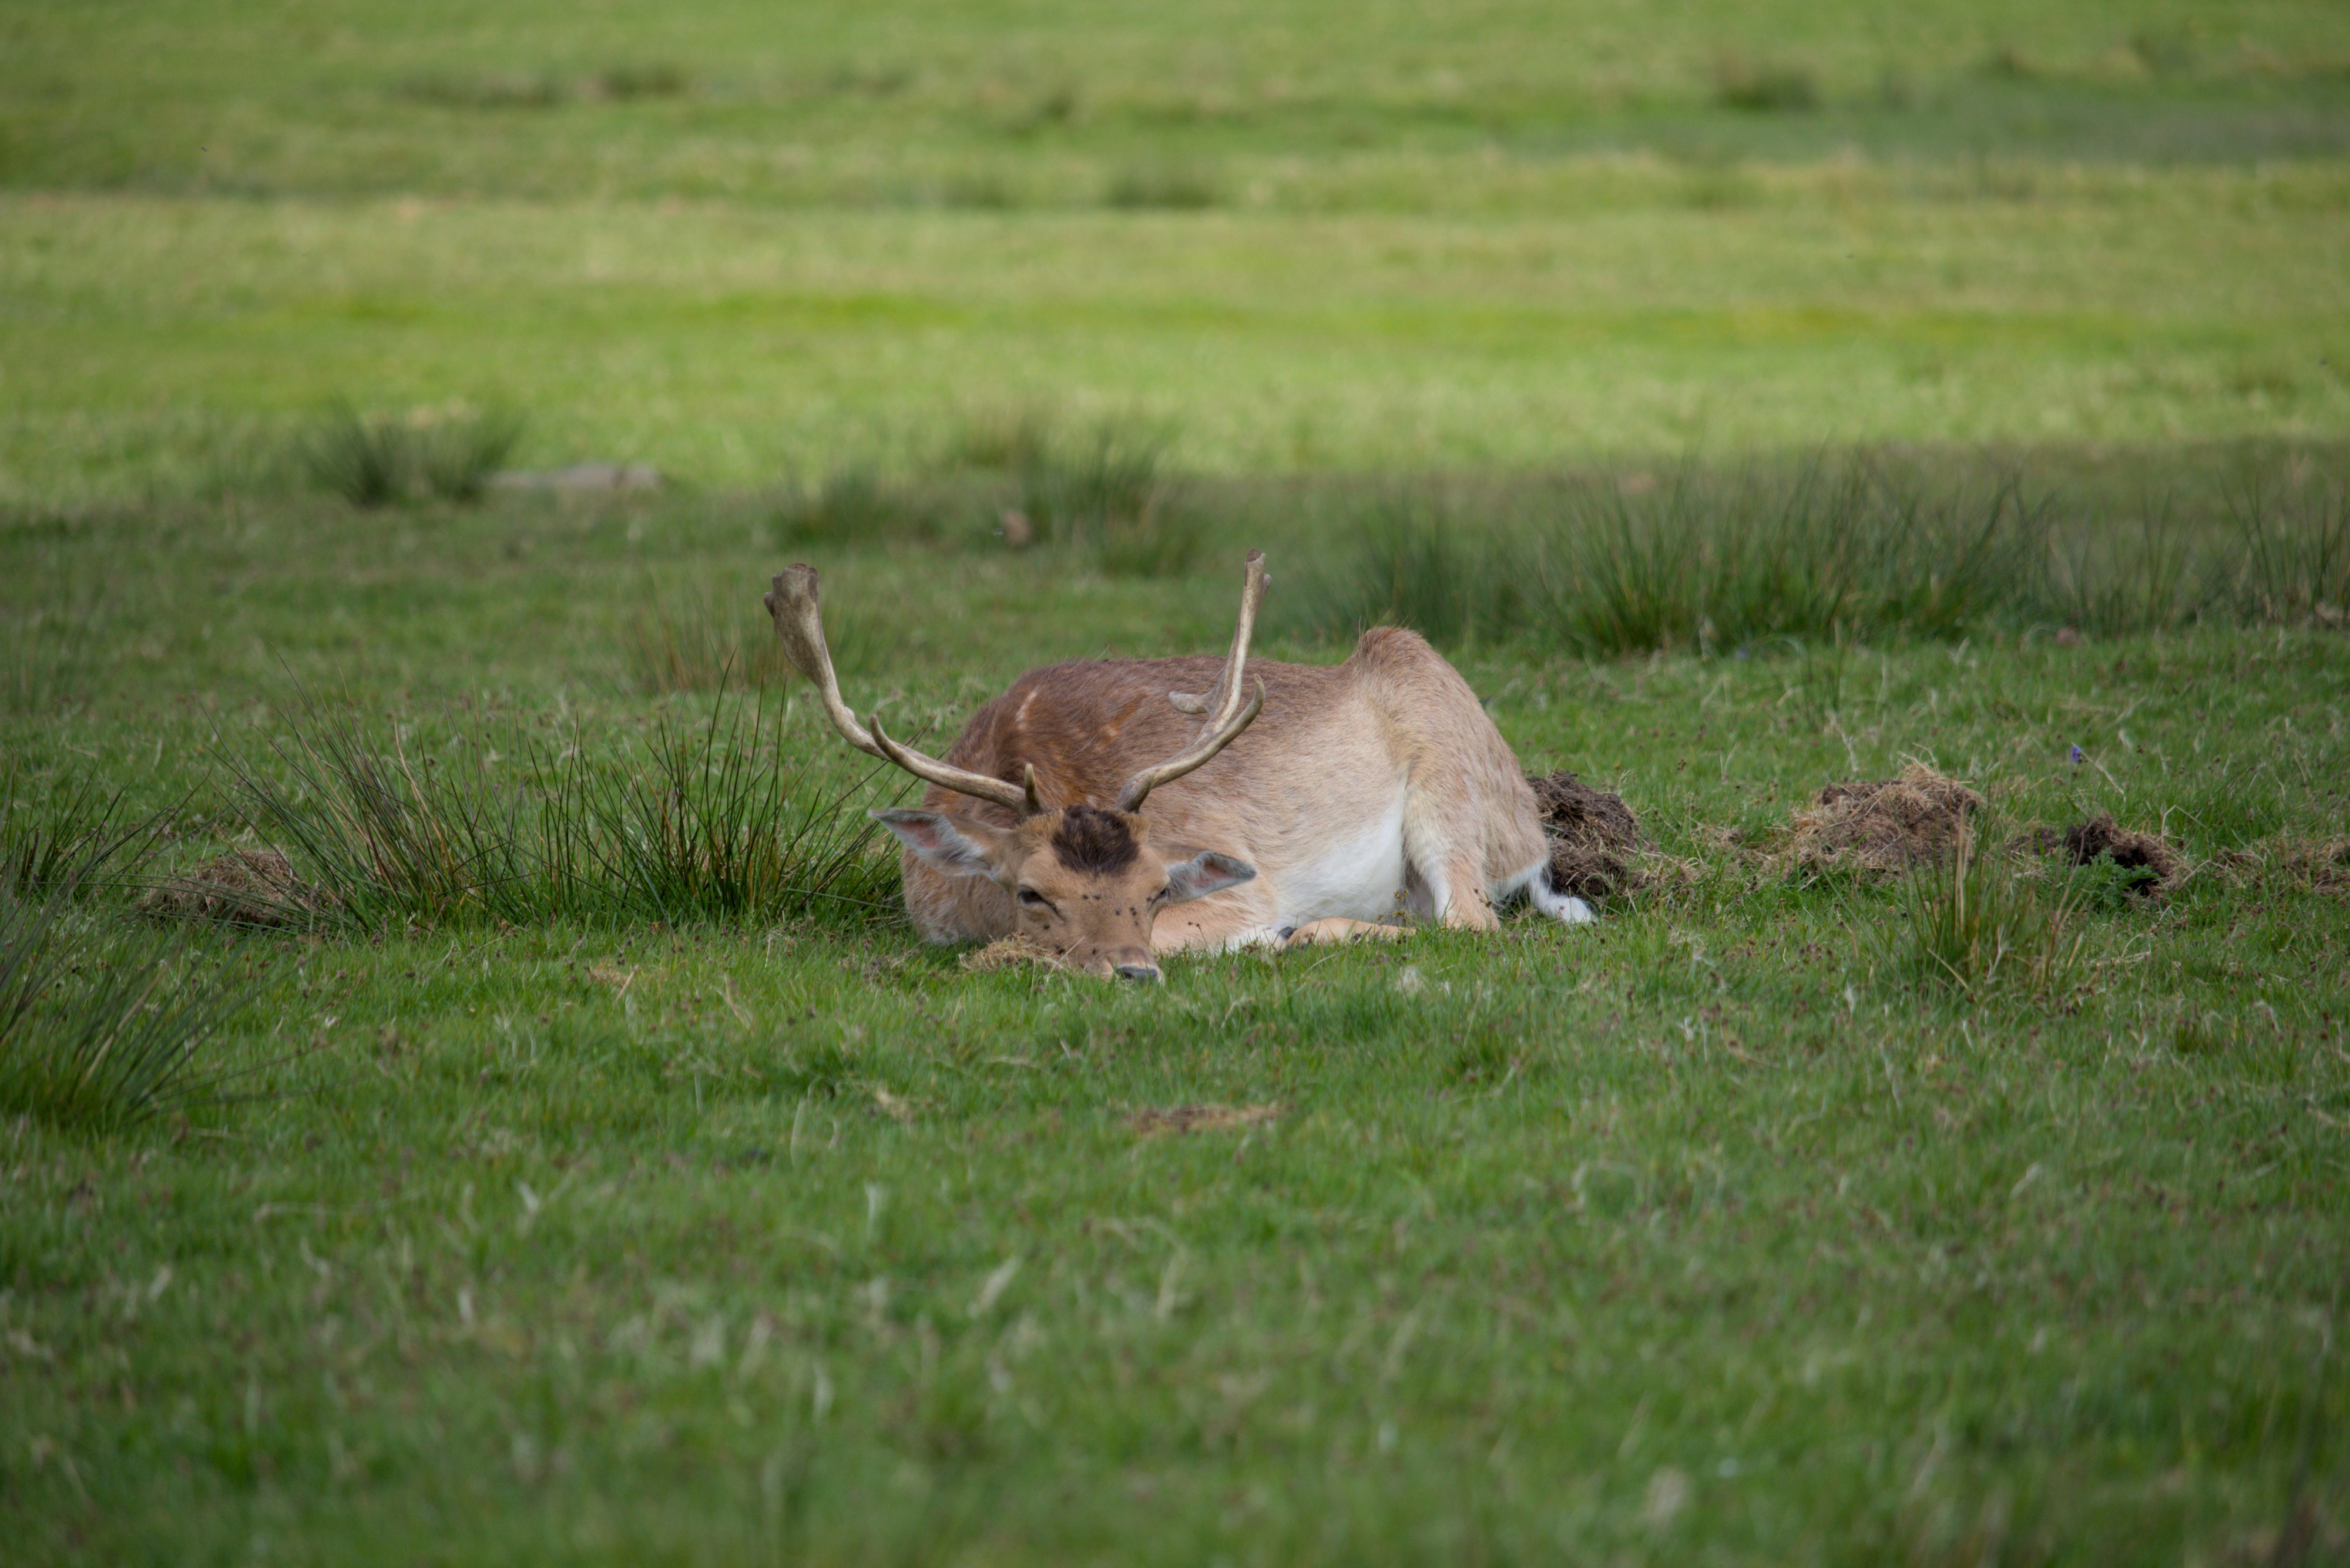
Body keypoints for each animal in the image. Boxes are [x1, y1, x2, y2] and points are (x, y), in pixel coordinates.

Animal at [762, 550, 1594, 981]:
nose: (1127, 969)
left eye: (1158, 889)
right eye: (1031, 890)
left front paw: (1277, 934)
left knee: (1469, 918)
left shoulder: (1236, 887)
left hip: (1449, 786)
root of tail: (1533, 832)